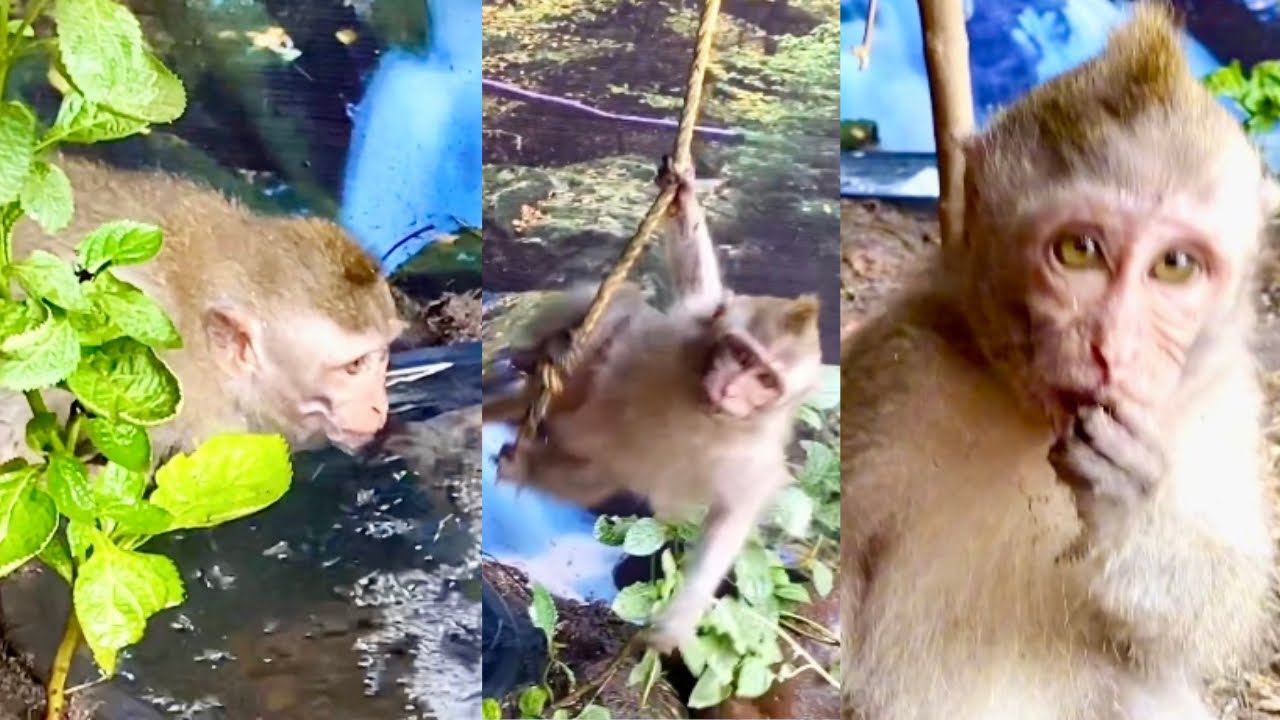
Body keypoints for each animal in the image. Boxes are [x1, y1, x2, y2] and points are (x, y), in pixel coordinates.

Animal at [489, 157, 823, 652]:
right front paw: (683, 193)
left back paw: (527, 462)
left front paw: (674, 625)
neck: (700, 404)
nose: (730, 390)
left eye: (765, 379)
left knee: (595, 479)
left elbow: (733, 516)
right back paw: (553, 356)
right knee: (623, 308)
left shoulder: (751, 459)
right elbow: (695, 293)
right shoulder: (692, 323)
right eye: (741, 355)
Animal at [840, 5, 1280, 719]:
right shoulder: (900, 370)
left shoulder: (1231, 400)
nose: (1113, 347)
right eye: (1079, 251)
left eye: (1175, 265)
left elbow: (1227, 605)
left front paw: (1133, 512)